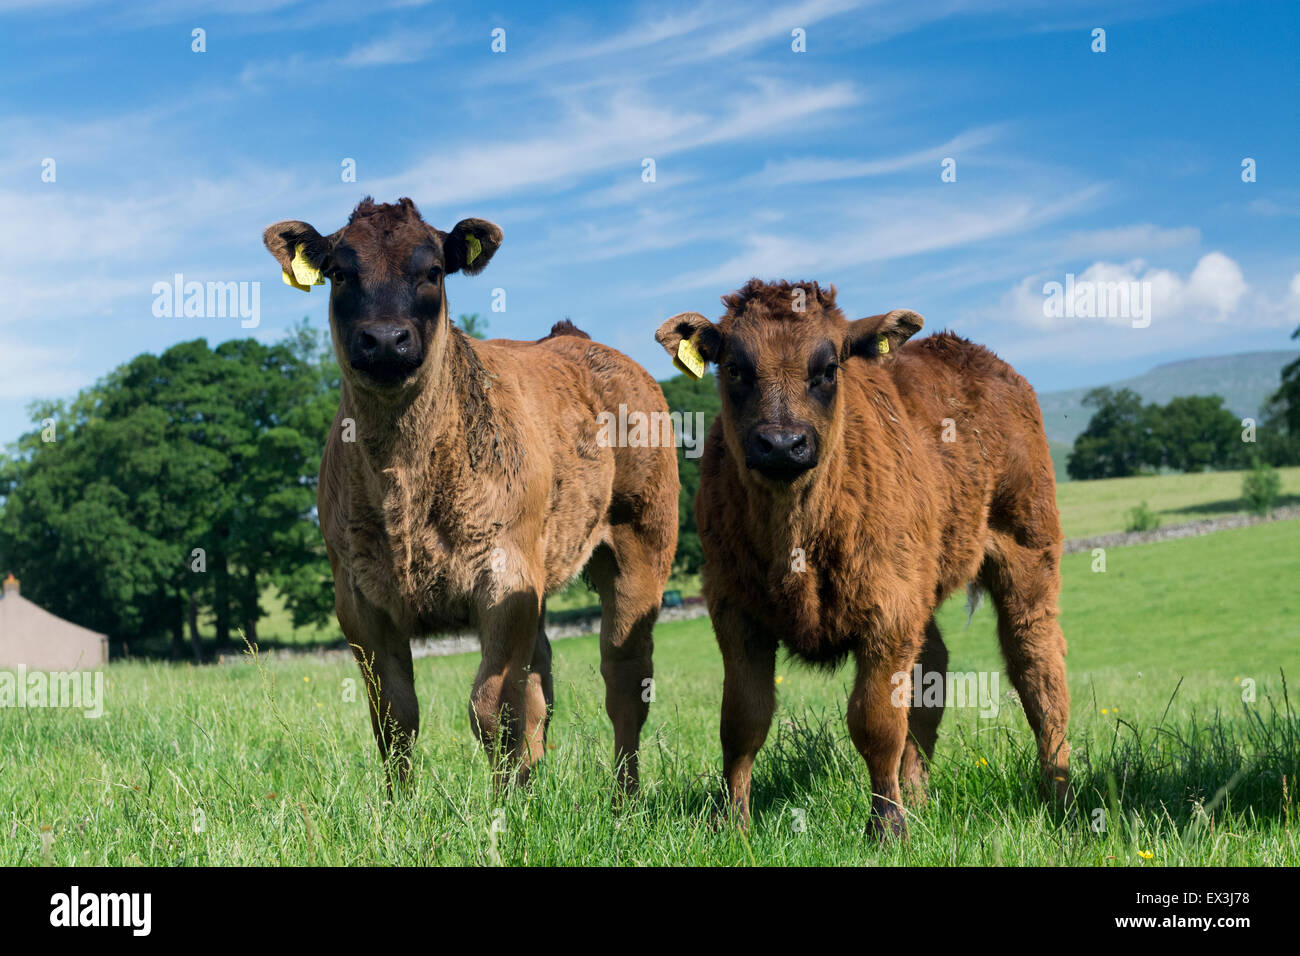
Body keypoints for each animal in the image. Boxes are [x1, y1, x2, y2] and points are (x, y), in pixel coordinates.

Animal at [263, 197, 678, 794]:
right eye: (339, 273)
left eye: (434, 271)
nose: (385, 339)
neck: (405, 480)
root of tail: (575, 340)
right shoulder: (357, 596)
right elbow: (395, 717)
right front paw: (403, 809)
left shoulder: (504, 577)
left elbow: (492, 708)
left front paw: (503, 808)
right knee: (541, 681)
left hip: (641, 545)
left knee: (624, 679)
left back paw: (624, 800)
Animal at [654, 279, 1071, 837]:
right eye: (736, 368)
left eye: (829, 369)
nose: (781, 444)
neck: (796, 534)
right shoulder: (734, 611)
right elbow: (743, 720)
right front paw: (732, 823)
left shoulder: (887, 615)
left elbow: (875, 722)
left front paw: (886, 827)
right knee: (933, 664)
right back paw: (917, 794)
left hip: (1028, 552)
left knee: (1036, 665)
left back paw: (1059, 793)